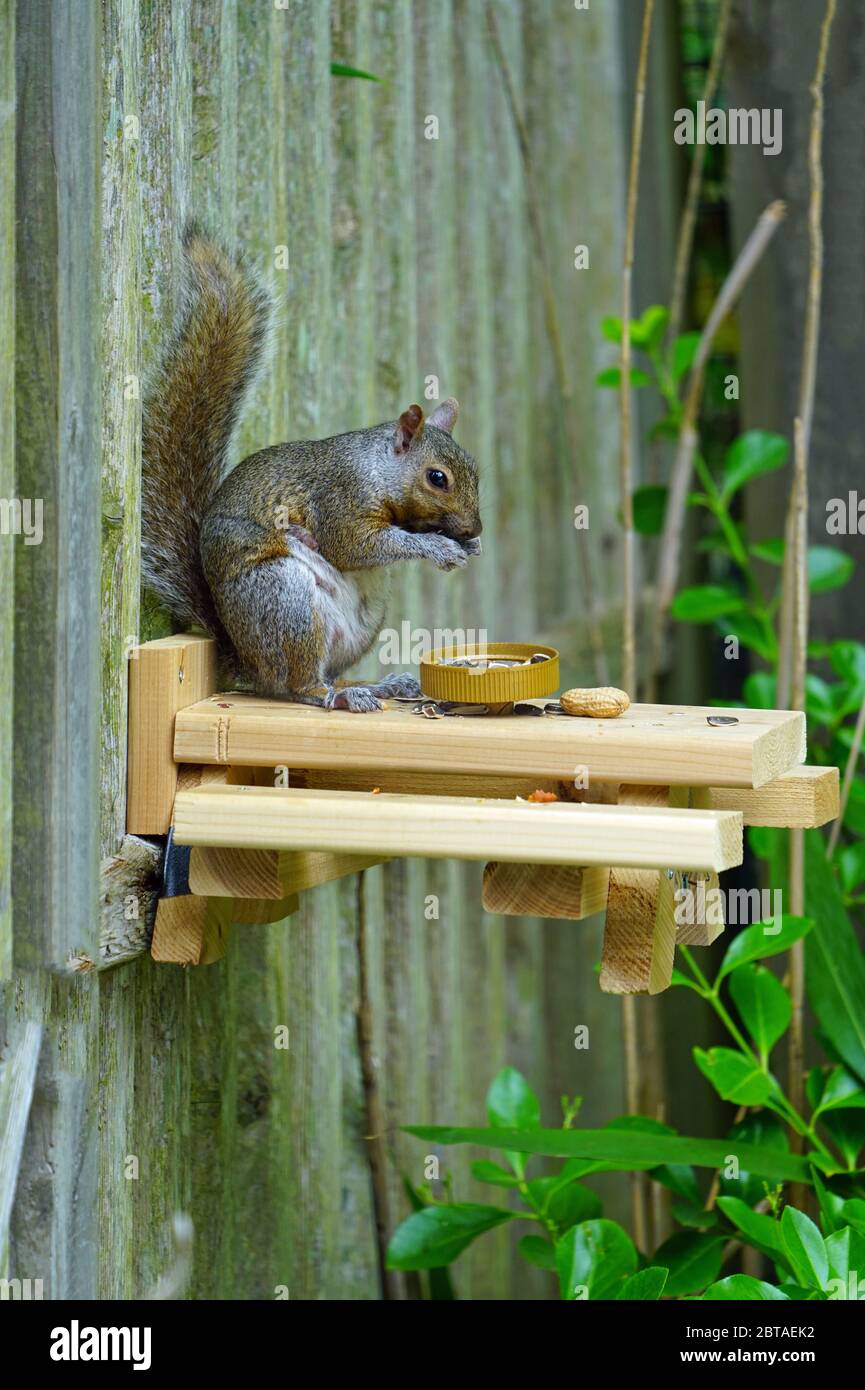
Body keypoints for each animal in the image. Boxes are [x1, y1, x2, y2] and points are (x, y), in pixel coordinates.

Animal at [141, 226, 482, 712]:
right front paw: (438, 548)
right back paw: (336, 695)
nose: (474, 529)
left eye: (475, 471)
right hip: (285, 599)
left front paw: (467, 546)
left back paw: (378, 685)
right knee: (298, 685)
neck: (375, 468)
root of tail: (248, 662)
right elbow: (358, 545)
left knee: (328, 670)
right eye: (438, 478)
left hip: (362, 622)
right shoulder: (340, 501)